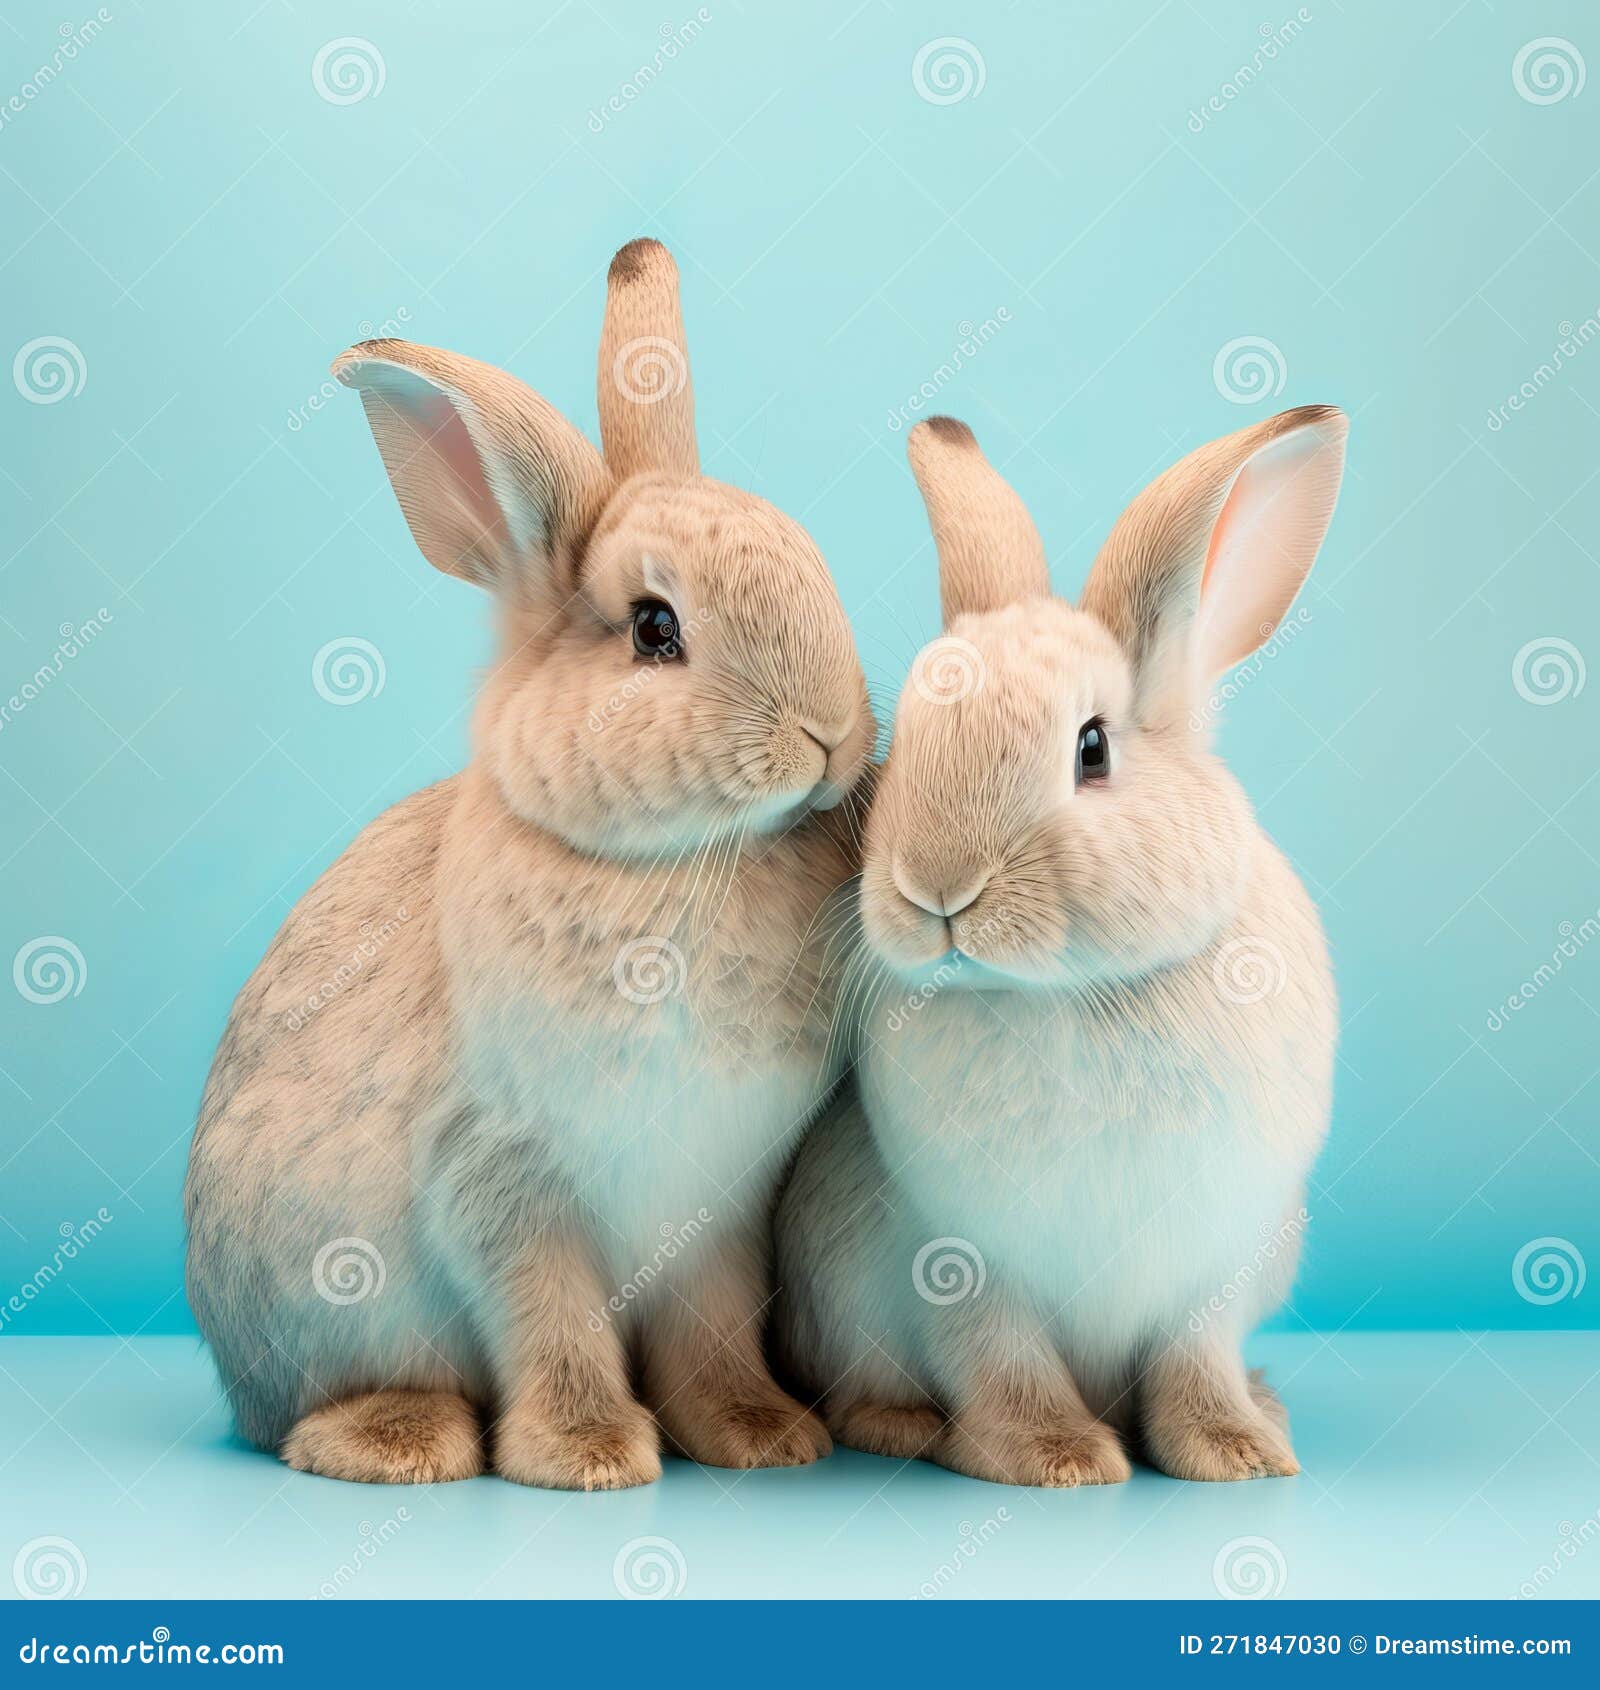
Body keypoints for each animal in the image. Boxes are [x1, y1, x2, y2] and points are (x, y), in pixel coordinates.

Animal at [184, 239, 876, 1489]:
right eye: (654, 628)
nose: (832, 732)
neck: (671, 860)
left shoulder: (713, 1206)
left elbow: (710, 1332)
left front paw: (760, 1436)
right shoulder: (500, 1179)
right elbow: (550, 1322)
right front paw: (587, 1454)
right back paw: (398, 1439)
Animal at [773, 404, 1347, 1486]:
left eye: (1092, 747)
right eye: (905, 746)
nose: (935, 887)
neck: (1072, 990)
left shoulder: (1214, 1261)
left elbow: (1195, 1361)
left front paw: (1234, 1453)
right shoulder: (958, 1262)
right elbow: (1002, 1363)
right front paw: (1056, 1458)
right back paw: (903, 1427)